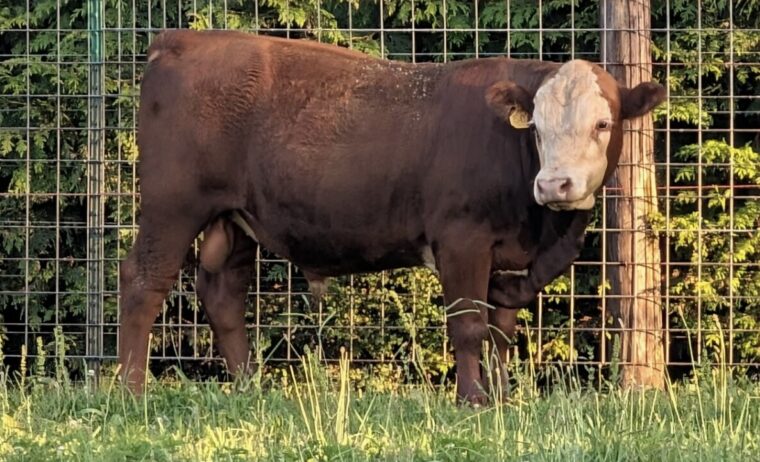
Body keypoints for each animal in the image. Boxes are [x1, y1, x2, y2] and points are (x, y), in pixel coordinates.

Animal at [119, 29, 665, 405]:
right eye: (536, 127)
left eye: (603, 123)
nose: (554, 185)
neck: (541, 229)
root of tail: (182, 39)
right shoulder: (462, 239)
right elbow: (469, 324)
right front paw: (473, 400)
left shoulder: (509, 256)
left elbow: (501, 331)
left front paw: (504, 396)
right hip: (173, 206)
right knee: (143, 281)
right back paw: (129, 387)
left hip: (233, 217)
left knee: (223, 293)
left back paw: (251, 386)